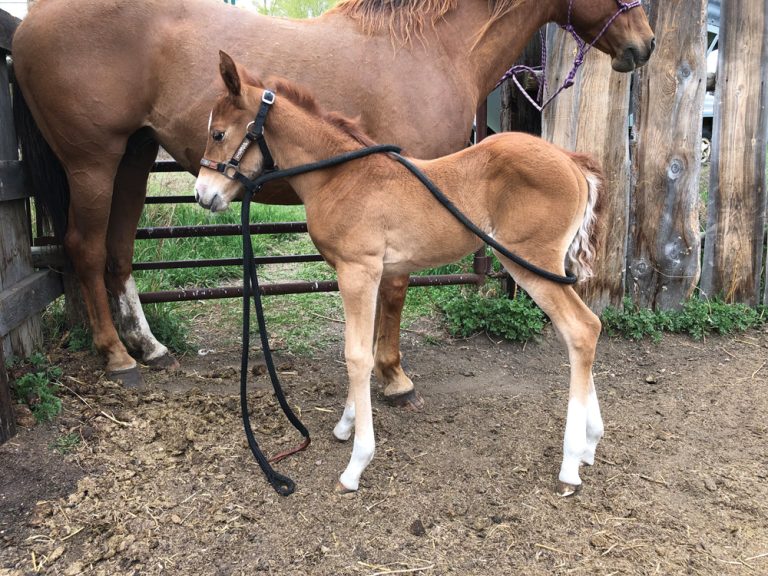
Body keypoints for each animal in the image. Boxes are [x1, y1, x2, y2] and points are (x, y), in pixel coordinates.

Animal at [11, 0, 654, 398]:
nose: (645, 45)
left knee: (118, 250)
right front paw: (393, 376)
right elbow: (395, 290)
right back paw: (116, 356)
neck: (431, 46)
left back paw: (148, 347)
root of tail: (28, 21)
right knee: (85, 249)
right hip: (93, 162)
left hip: (134, 157)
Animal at [195, 51, 605, 495]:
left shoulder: (357, 270)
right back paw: (590, 444)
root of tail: (572, 163)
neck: (340, 177)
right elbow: (367, 345)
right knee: (584, 328)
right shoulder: (370, 273)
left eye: (218, 133)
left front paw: (357, 463)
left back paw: (570, 463)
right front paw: (346, 424)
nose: (202, 194)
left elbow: (356, 354)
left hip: (531, 261)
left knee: (581, 328)